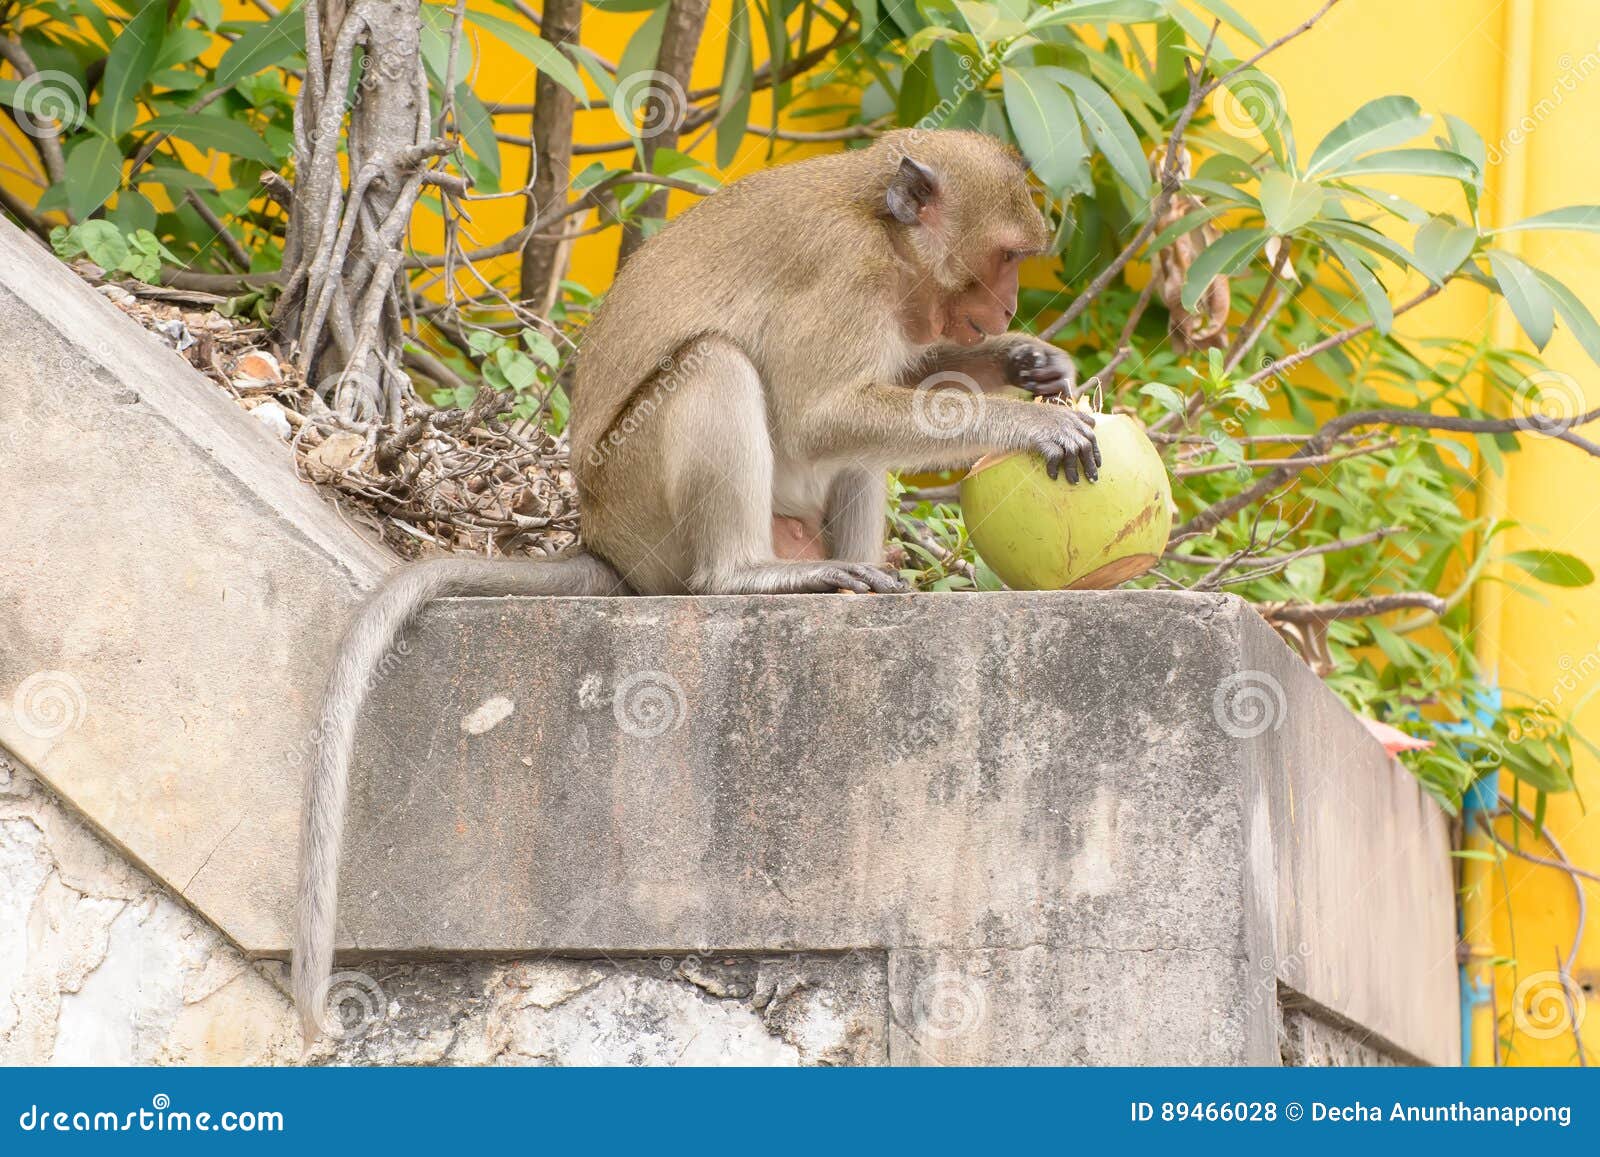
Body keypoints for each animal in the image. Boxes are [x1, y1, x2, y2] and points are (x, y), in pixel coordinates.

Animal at [293, 128, 1099, 1043]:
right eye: (1006, 258)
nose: (1007, 309)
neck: (884, 233)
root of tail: (600, 537)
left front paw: (1028, 363)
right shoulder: (846, 274)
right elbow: (823, 413)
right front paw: (1032, 419)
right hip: (646, 500)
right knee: (717, 365)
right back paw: (750, 577)